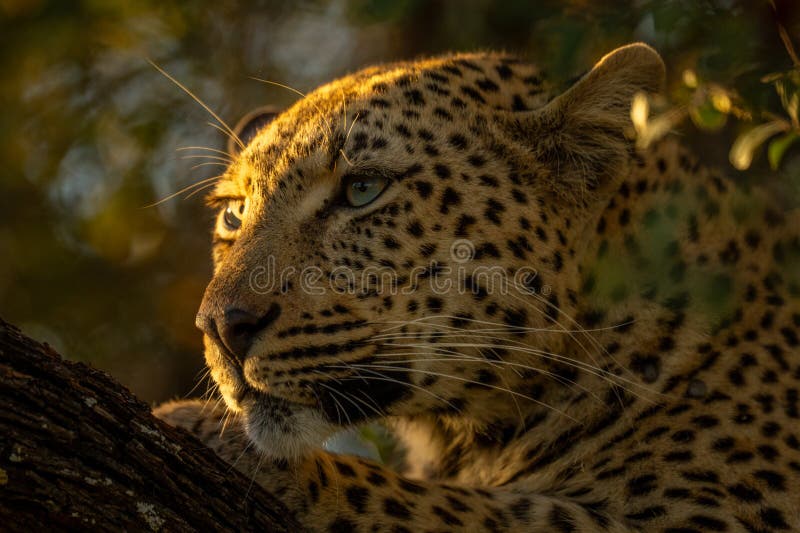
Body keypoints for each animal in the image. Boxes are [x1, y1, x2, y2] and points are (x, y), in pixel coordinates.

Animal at [155, 43, 800, 531]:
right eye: (233, 215)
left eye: (363, 189)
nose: (221, 328)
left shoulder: (706, 516)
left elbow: (453, 507)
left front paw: (201, 427)